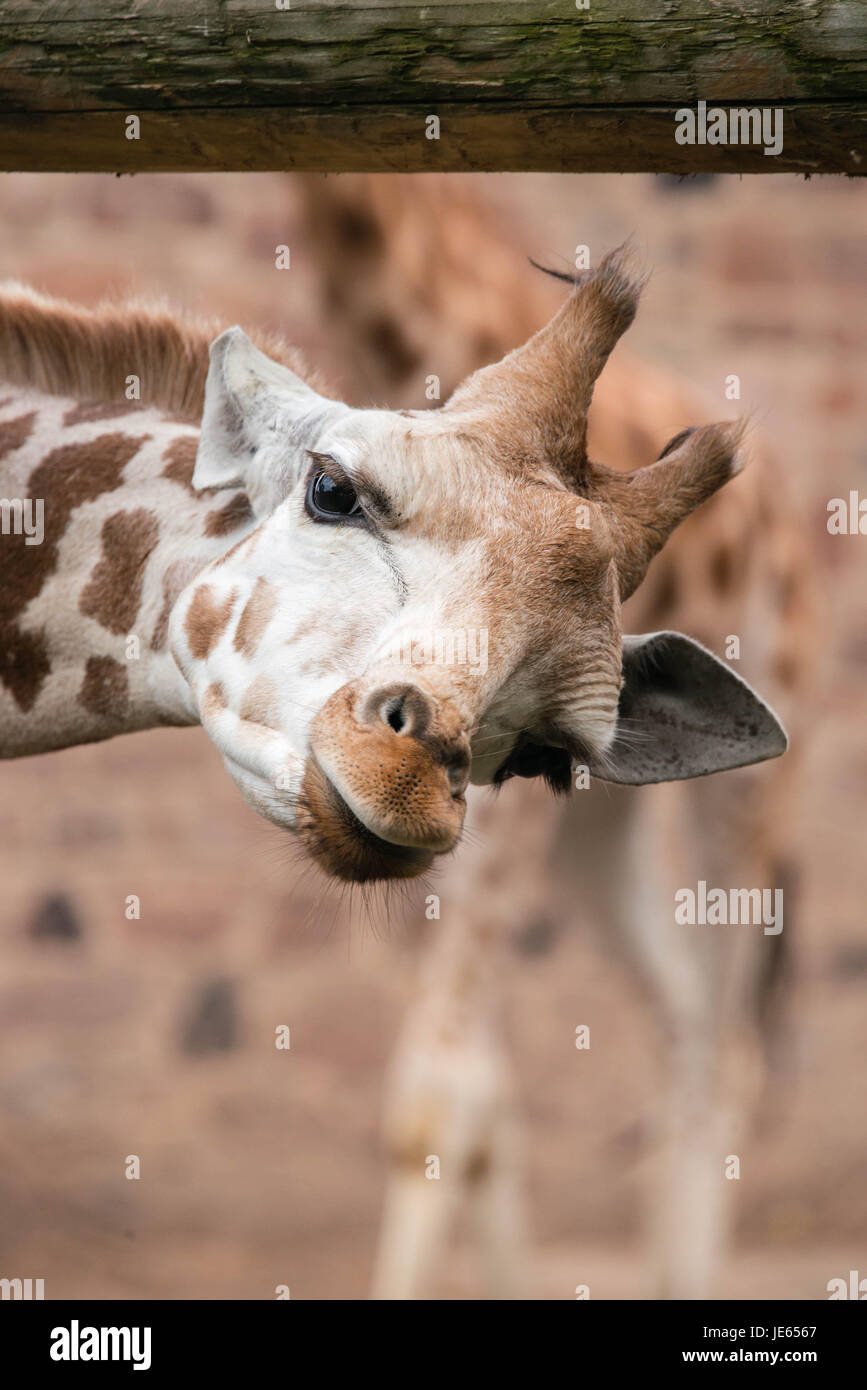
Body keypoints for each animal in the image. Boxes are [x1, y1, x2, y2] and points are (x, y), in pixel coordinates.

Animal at [294, 174, 812, 1299]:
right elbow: (476, 1099)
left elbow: (436, 1100)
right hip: (599, 827)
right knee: (677, 1008)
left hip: (751, 776)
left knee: (726, 1041)